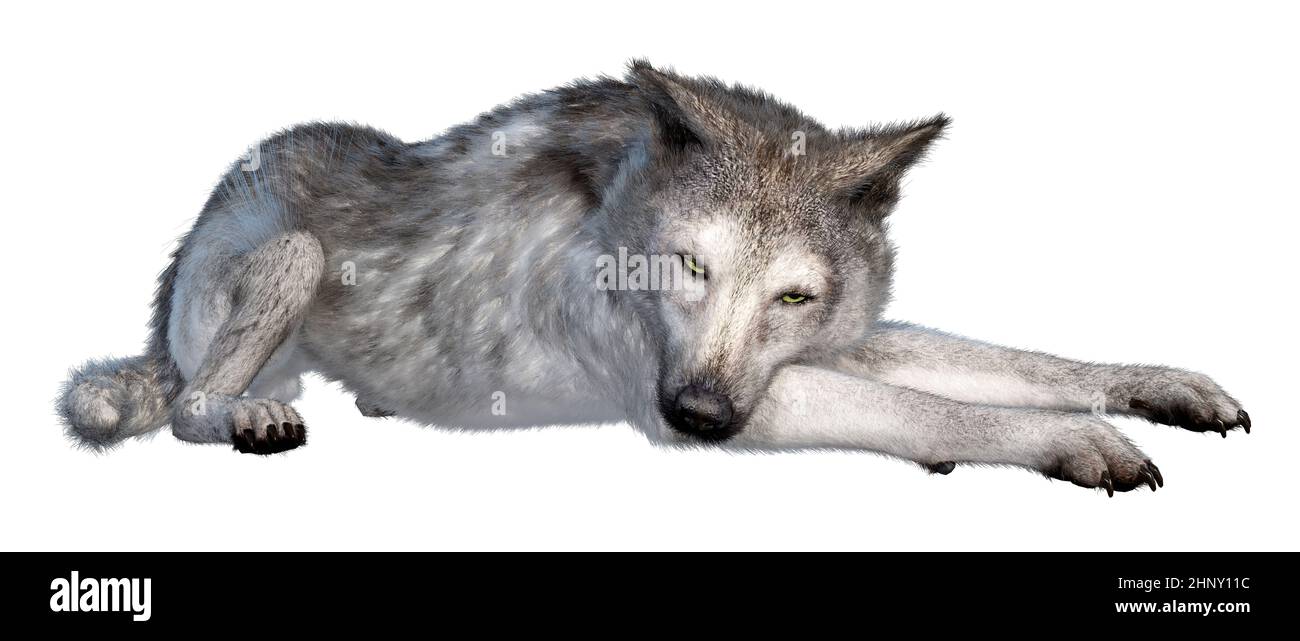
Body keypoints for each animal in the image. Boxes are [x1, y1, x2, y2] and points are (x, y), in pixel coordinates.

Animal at [58, 61, 1248, 494]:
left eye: (793, 295)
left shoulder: (810, 354)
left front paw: (1163, 387)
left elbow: (1008, 359)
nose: (700, 418)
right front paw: (1075, 443)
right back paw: (247, 413)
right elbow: (932, 405)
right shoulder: (729, 393)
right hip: (290, 262)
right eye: (689, 264)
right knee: (188, 402)